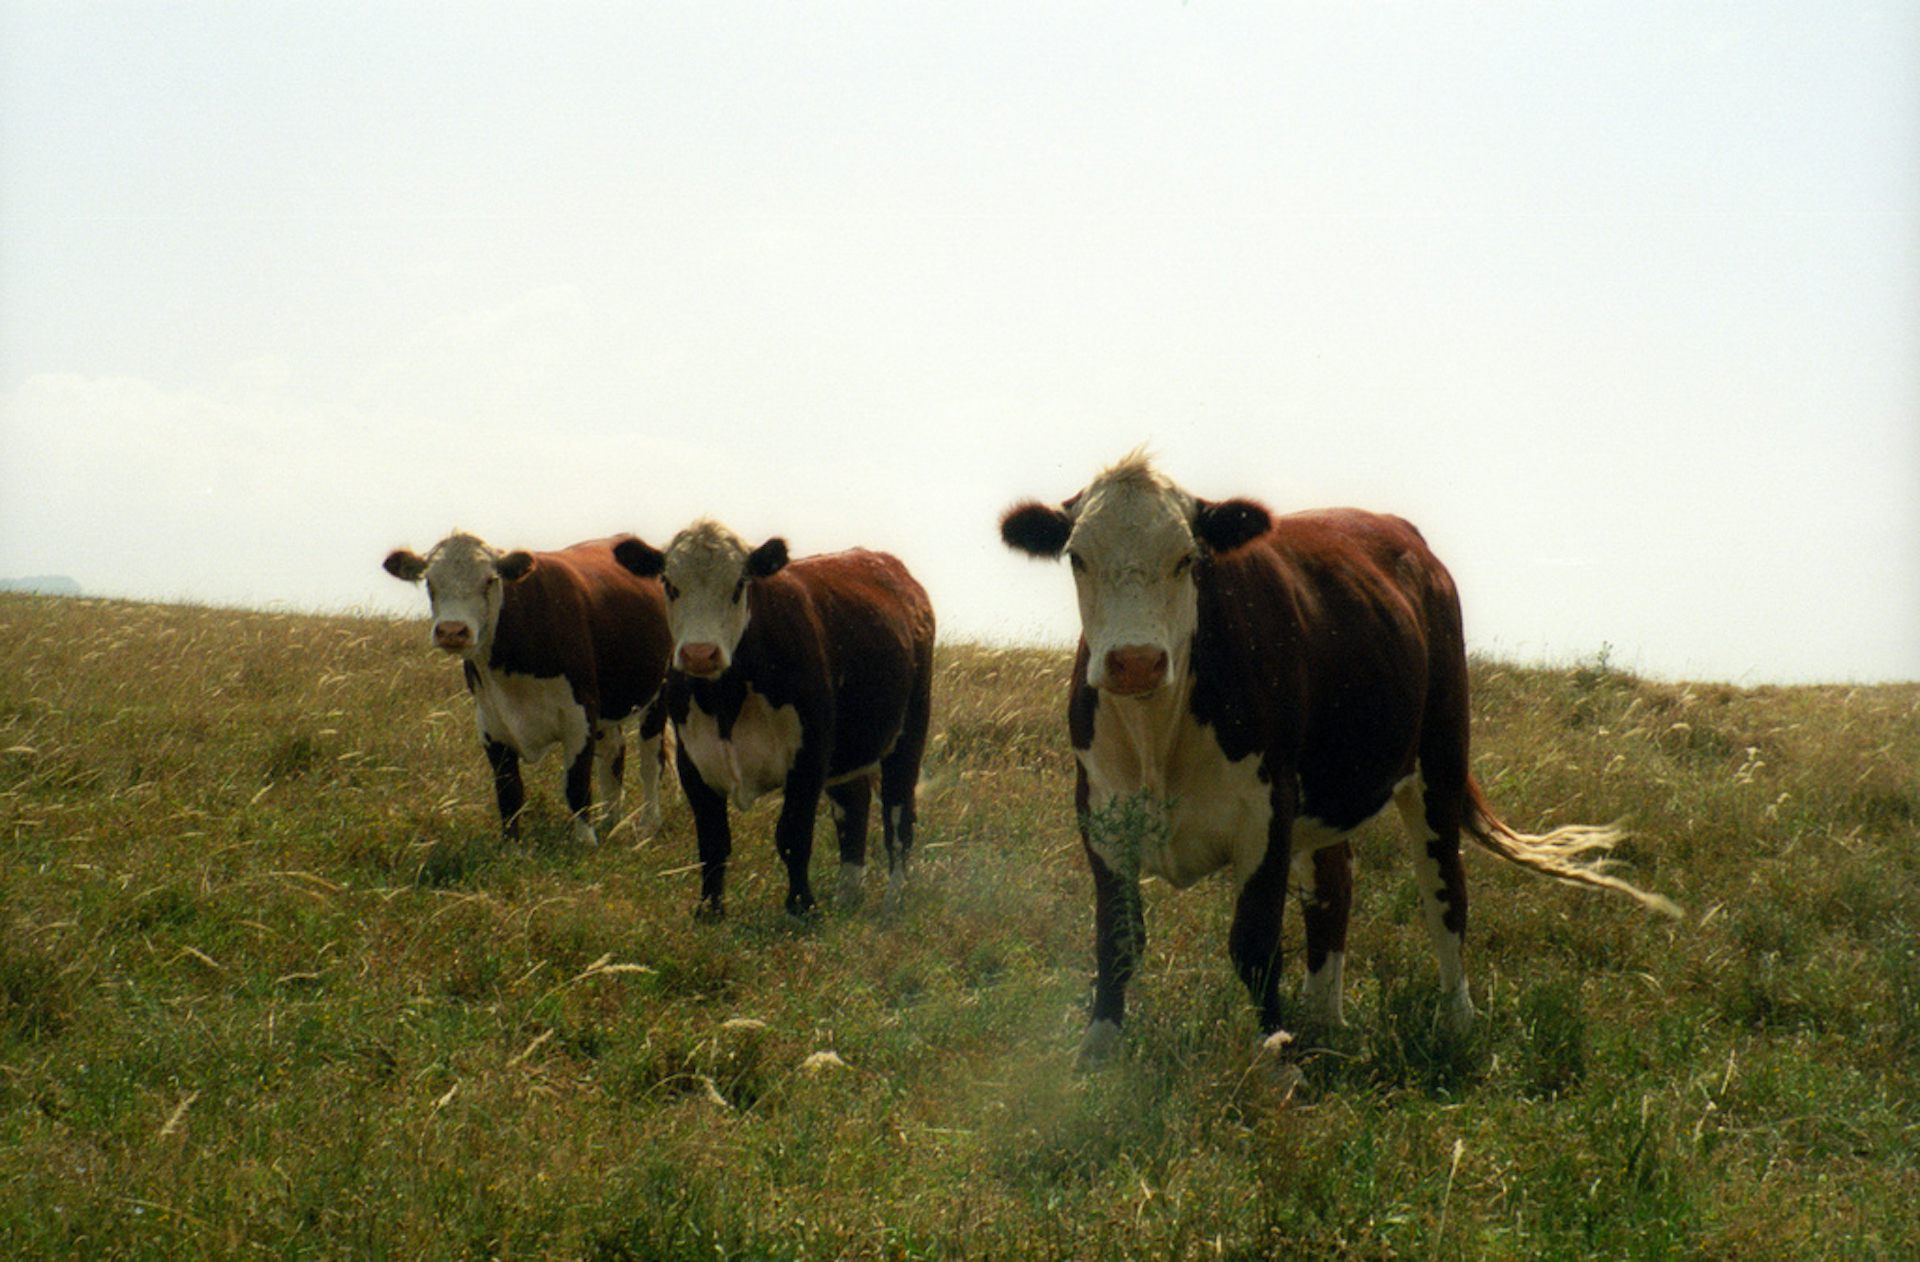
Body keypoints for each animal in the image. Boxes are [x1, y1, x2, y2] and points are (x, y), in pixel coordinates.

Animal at [382, 531, 672, 846]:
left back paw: (648, 824)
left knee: (650, 762)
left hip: (658, 696)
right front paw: (512, 848)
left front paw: (585, 842)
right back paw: (612, 821)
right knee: (613, 756)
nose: (452, 631)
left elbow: (577, 785)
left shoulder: (580, 716)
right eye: (430, 582)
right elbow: (509, 793)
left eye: (489, 580)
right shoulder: (491, 724)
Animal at [611, 520, 935, 919]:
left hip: (908, 733)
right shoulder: (693, 761)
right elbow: (712, 840)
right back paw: (847, 894)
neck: (727, 699)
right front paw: (709, 910)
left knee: (898, 816)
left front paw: (801, 908)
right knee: (853, 806)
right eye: (670, 584)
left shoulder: (809, 755)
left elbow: (793, 835)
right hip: (848, 750)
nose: (700, 654)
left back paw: (892, 900)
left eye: (739, 584)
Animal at [1000, 453, 1678, 1068]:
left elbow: (1254, 943)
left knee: (1444, 891)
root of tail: (1404, 538)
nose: (1135, 661)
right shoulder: (1102, 814)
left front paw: (1272, 1058)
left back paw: (1456, 1019)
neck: (1156, 738)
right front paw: (1098, 1052)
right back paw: (1323, 1018)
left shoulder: (1266, 813)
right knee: (1334, 887)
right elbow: (1117, 940)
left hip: (1439, 760)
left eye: (1187, 558)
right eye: (1077, 558)